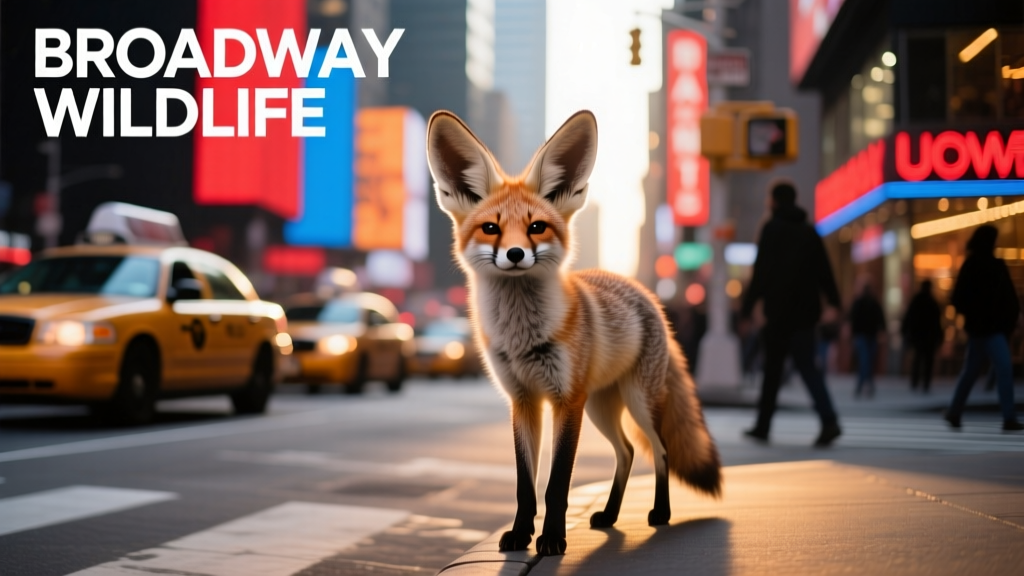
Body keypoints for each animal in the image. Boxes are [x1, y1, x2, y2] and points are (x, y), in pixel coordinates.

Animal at [425, 110, 721, 556]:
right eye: (491, 228)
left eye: (537, 227)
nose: (515, 254)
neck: (523, 337)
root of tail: (644, 293)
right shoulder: (523, 400)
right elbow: (525, 486)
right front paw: (520, 536)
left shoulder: (567, 400)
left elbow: (556, 485)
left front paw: (551, 540)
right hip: (600, 406)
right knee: (627, 452)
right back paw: (610, 515)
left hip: (635, 402)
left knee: (661, 451)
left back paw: (660, 513)